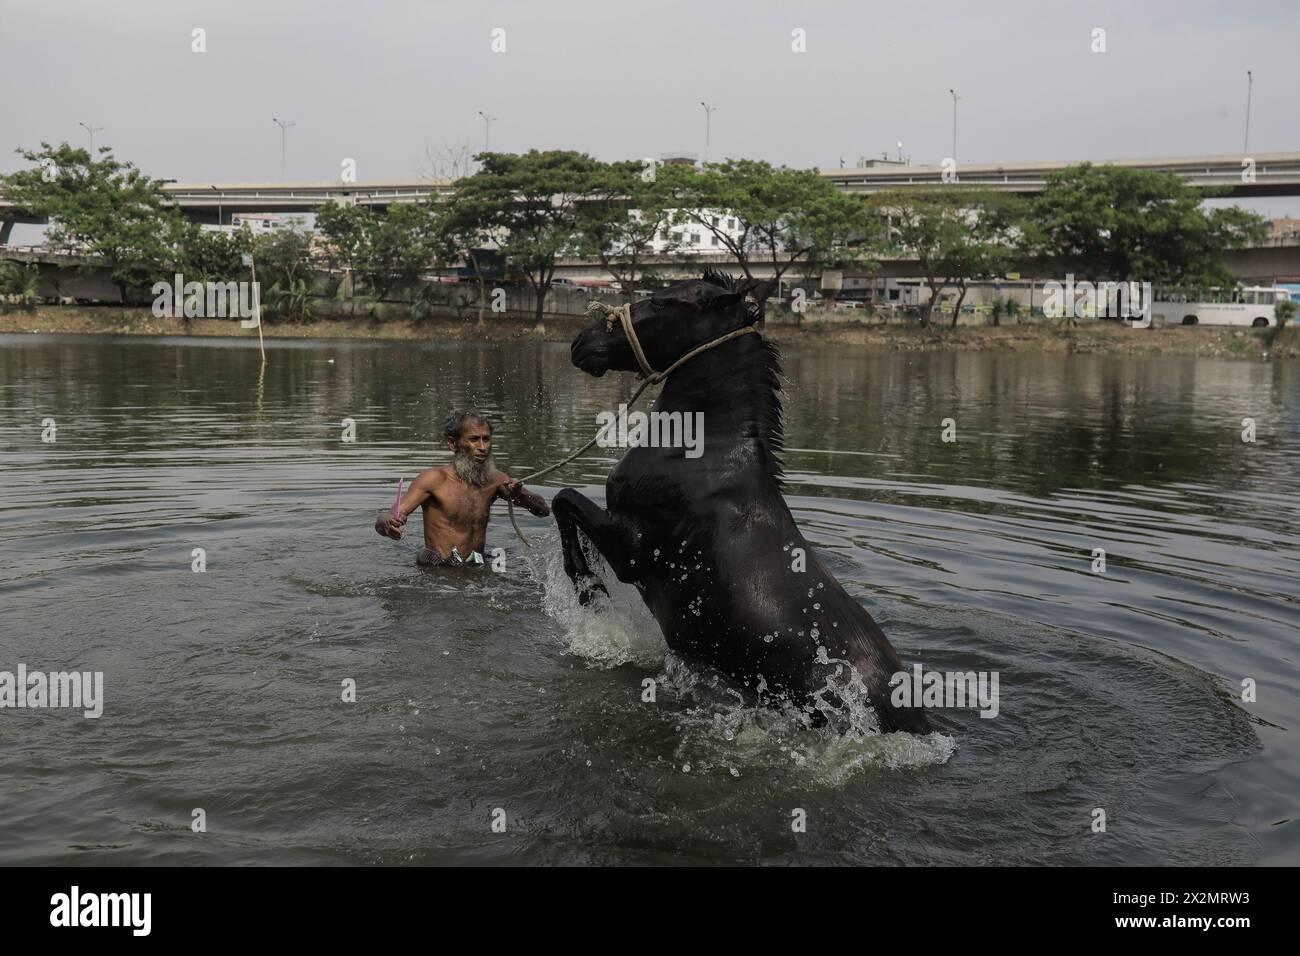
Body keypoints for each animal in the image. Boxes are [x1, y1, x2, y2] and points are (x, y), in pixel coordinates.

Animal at [552, 271, 930, 734]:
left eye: (660, 302)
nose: (582, 342)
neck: (699, 449)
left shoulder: (632, 547)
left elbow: (563, 501)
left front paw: (588, 588)